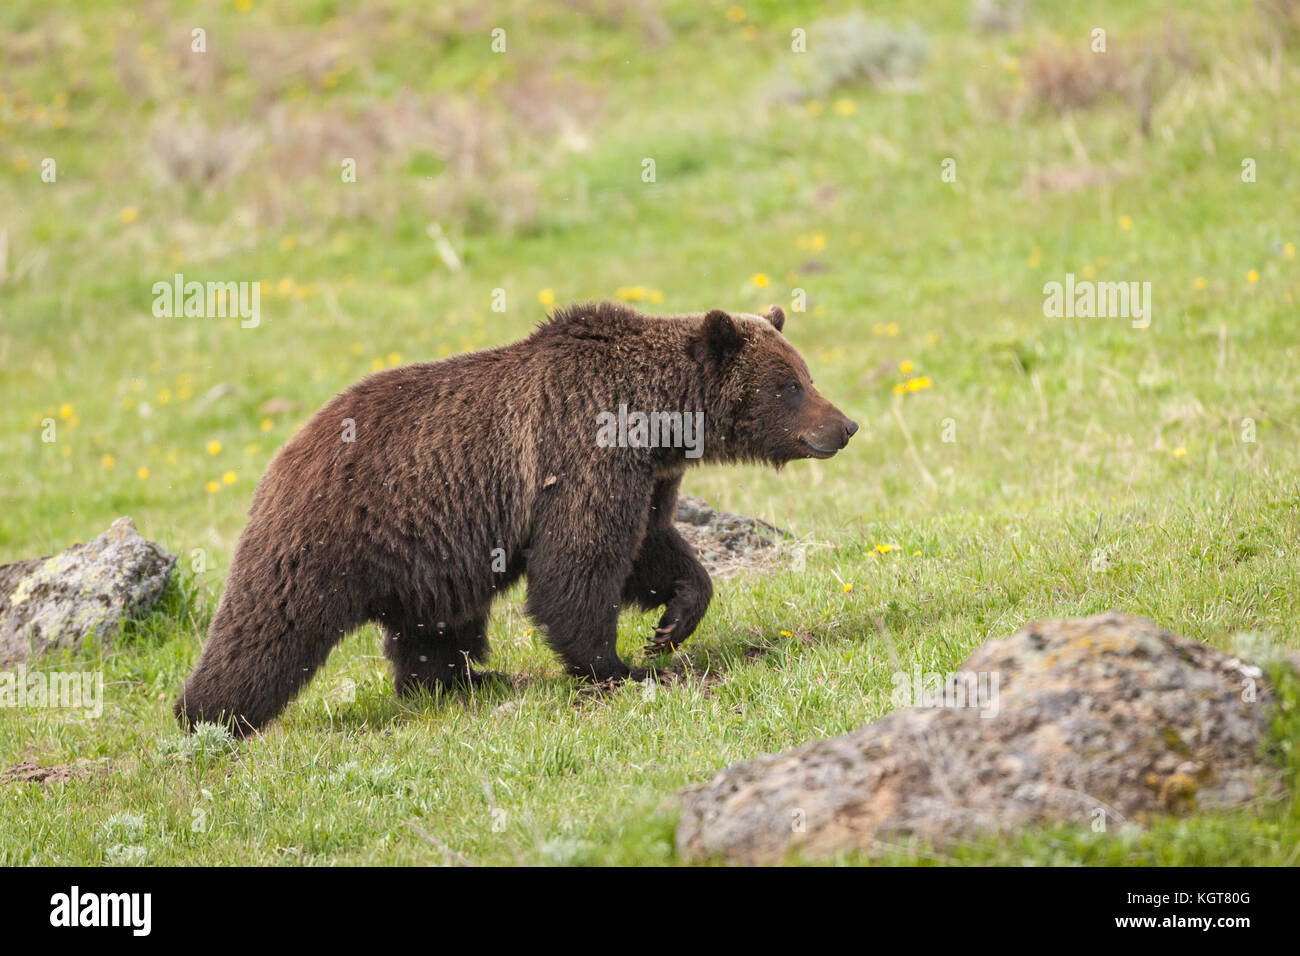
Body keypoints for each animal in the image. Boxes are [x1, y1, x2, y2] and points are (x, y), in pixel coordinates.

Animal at [175, 301, 858, 735]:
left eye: (806, 374)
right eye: (790, 385)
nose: (845, 425)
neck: (659, 421)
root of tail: (284, 453)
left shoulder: (647, 476)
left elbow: (651, 548)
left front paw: (671, 625)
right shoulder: (584, 453)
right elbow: (578, 565)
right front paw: (619, 667)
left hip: (426, 554)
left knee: (435, 627)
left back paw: (468, 681)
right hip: (329, 532)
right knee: (268, 628)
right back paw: (207, 717)